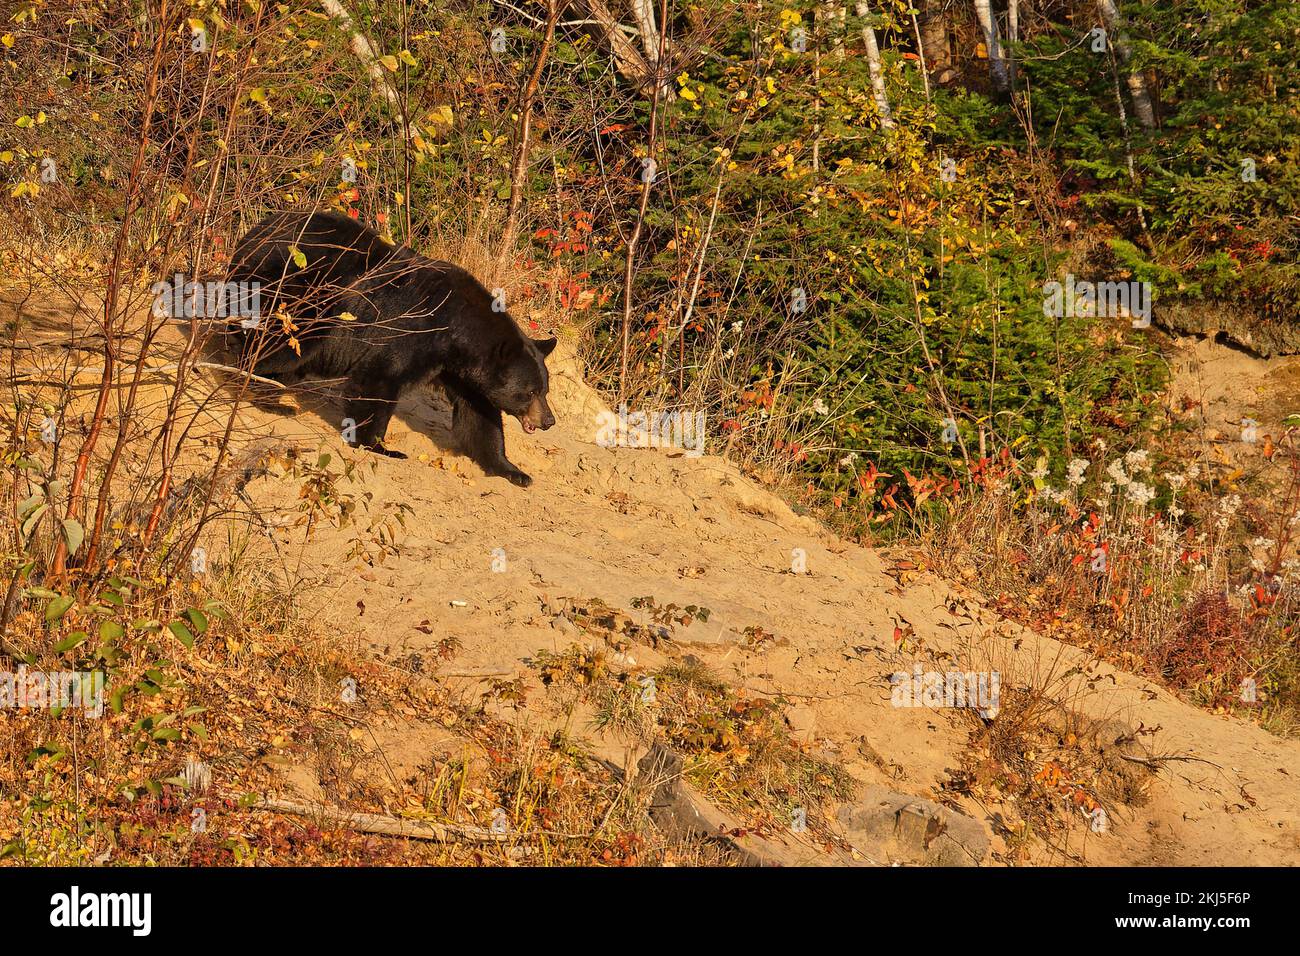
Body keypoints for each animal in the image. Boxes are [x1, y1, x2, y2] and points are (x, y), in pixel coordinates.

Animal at [212, 209, 556, 487]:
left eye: (544, 389)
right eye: (530, 392)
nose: (548, 421)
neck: (457, 333)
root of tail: (254, 233)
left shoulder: (460, 372)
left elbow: (480, 416)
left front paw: (513, 470)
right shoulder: (415, 332)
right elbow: (379, 380)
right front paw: (381, 446)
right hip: (301, 293)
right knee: (281, 343)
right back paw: (269, 398)